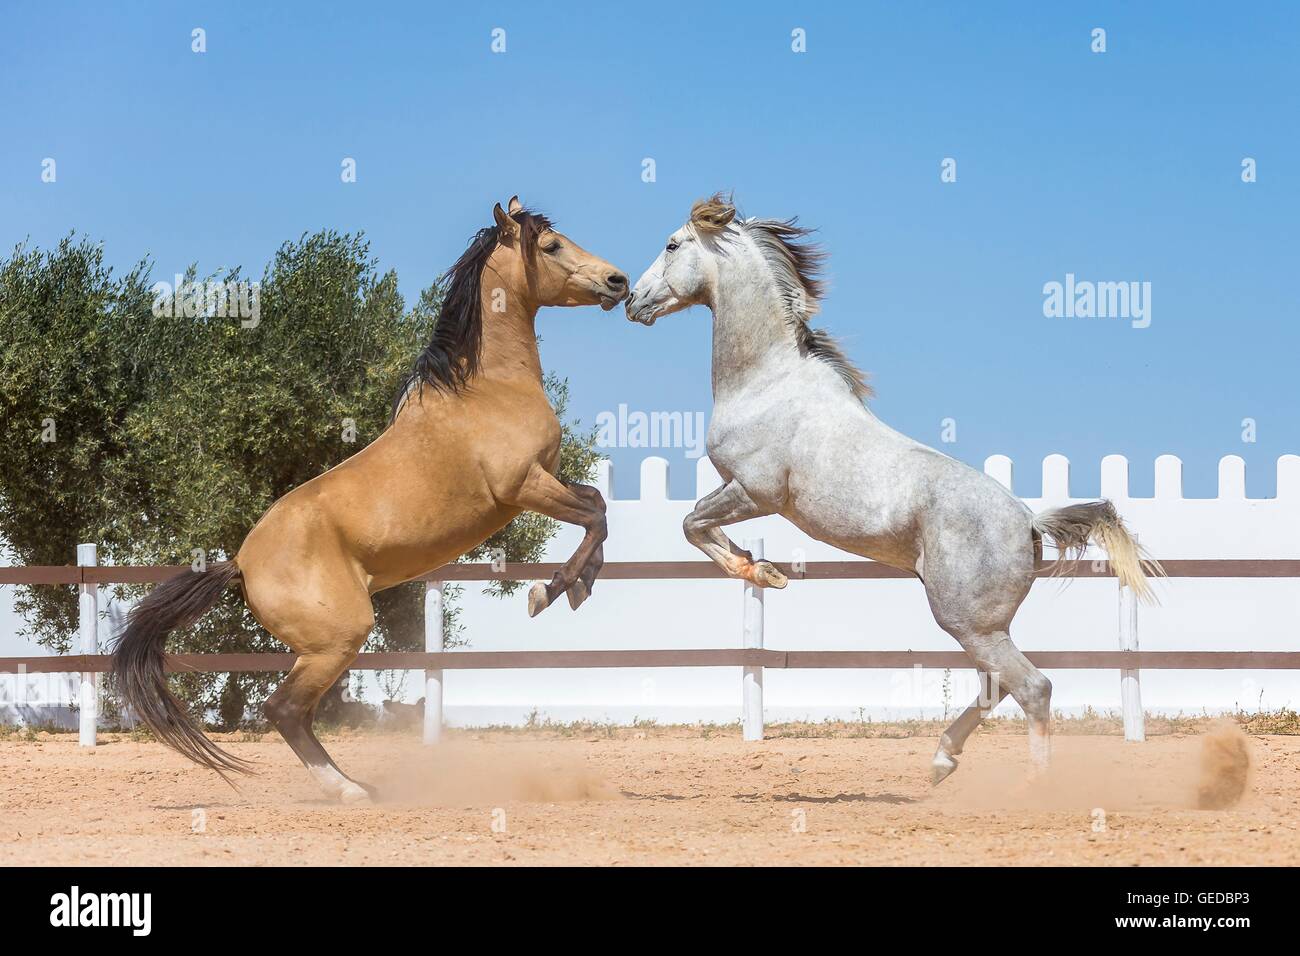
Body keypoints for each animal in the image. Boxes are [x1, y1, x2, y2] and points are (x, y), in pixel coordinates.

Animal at [114, 197, 629, 802]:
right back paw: (349, 791)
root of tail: (239, 562)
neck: (489, 388)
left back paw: (357, 784)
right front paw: (549, 592)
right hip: (338, 640)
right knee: (283, 709)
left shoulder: (547, 481)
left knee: (296, 714)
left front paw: (578, 585)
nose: (618, 280)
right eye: (550, 246)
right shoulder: (522, 487)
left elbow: (597, 505)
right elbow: (594, 515)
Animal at [625, 194, 1160, 783]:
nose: (631, 300)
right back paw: (942, 759)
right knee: (997, 685)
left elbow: (692, 523)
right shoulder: (739, 491)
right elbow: (699, 525)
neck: (768, 381)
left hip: (966, 621)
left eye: (672, 244)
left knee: (1032, 688)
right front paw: (761, 567)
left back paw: (1027, 783)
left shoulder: (754, 492)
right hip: (983, 626)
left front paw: (762, 572)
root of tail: (1028, 521)